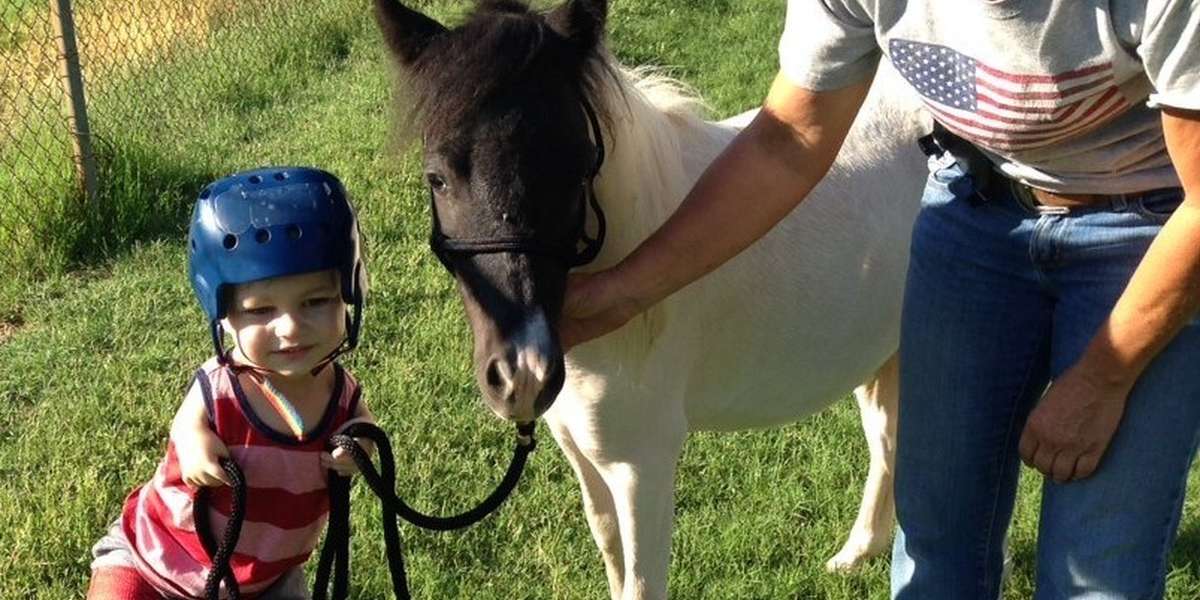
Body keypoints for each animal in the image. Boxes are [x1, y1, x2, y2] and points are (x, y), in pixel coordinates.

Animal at [373, 0, 930, 597]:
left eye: (578, 169)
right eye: (437, 178)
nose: (522, 373)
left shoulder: (642, 466)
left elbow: (641, 580)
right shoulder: (580, 448)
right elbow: (611, 550)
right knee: (888, 445)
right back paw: (855, 555)